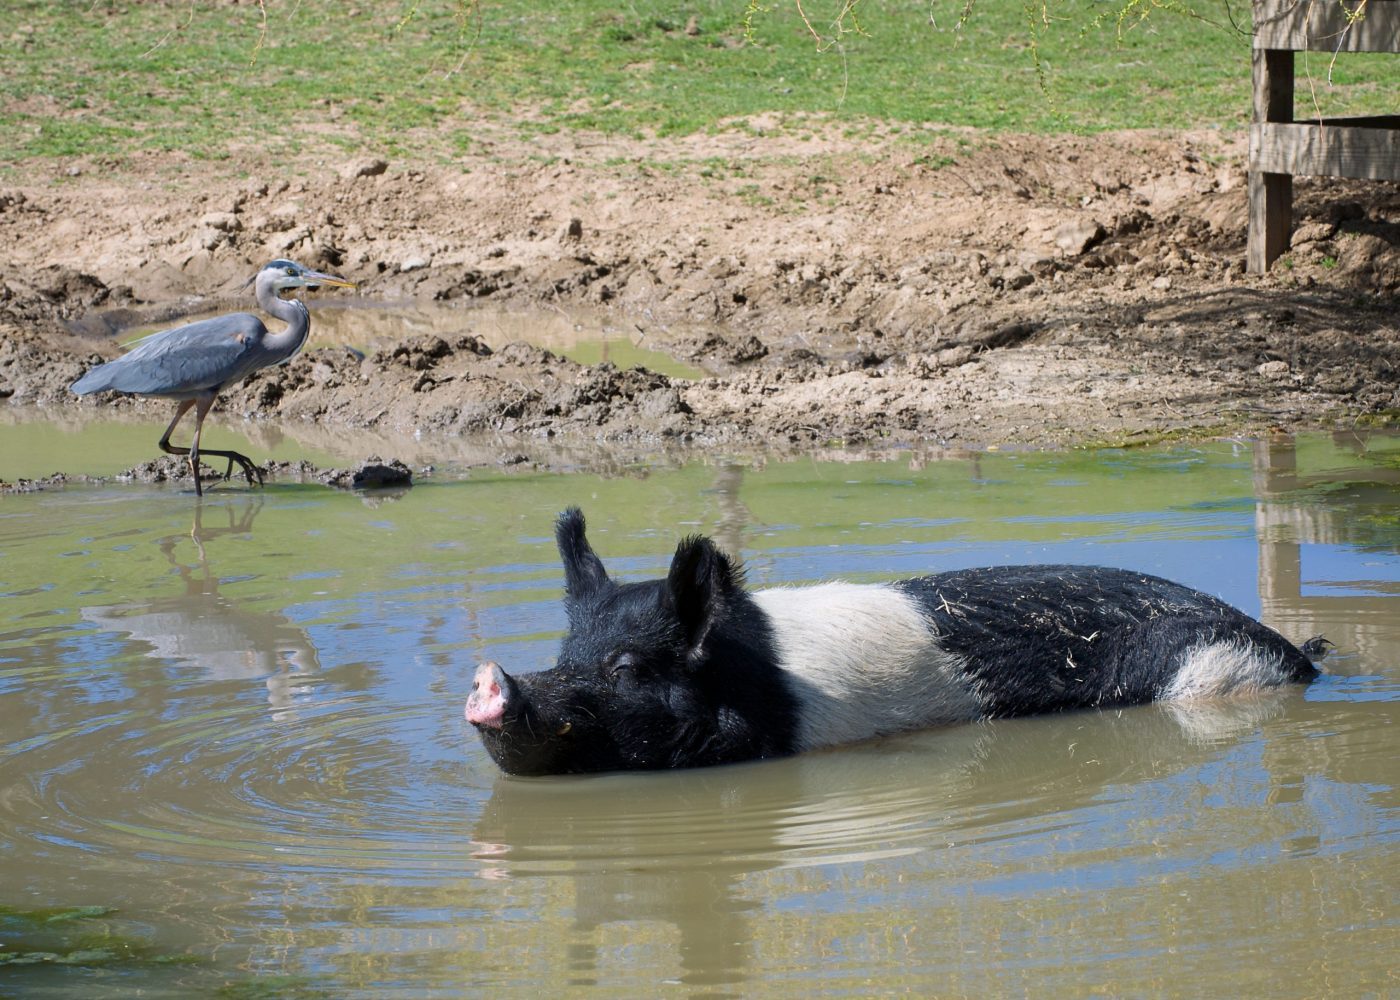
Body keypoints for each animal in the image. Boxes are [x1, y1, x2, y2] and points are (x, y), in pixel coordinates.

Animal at [465, 507, 1324, 775]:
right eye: (565, 656)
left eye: (627, 667)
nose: (493, 678)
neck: (759, 682)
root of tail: (1299, 656)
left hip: (1212, 673)